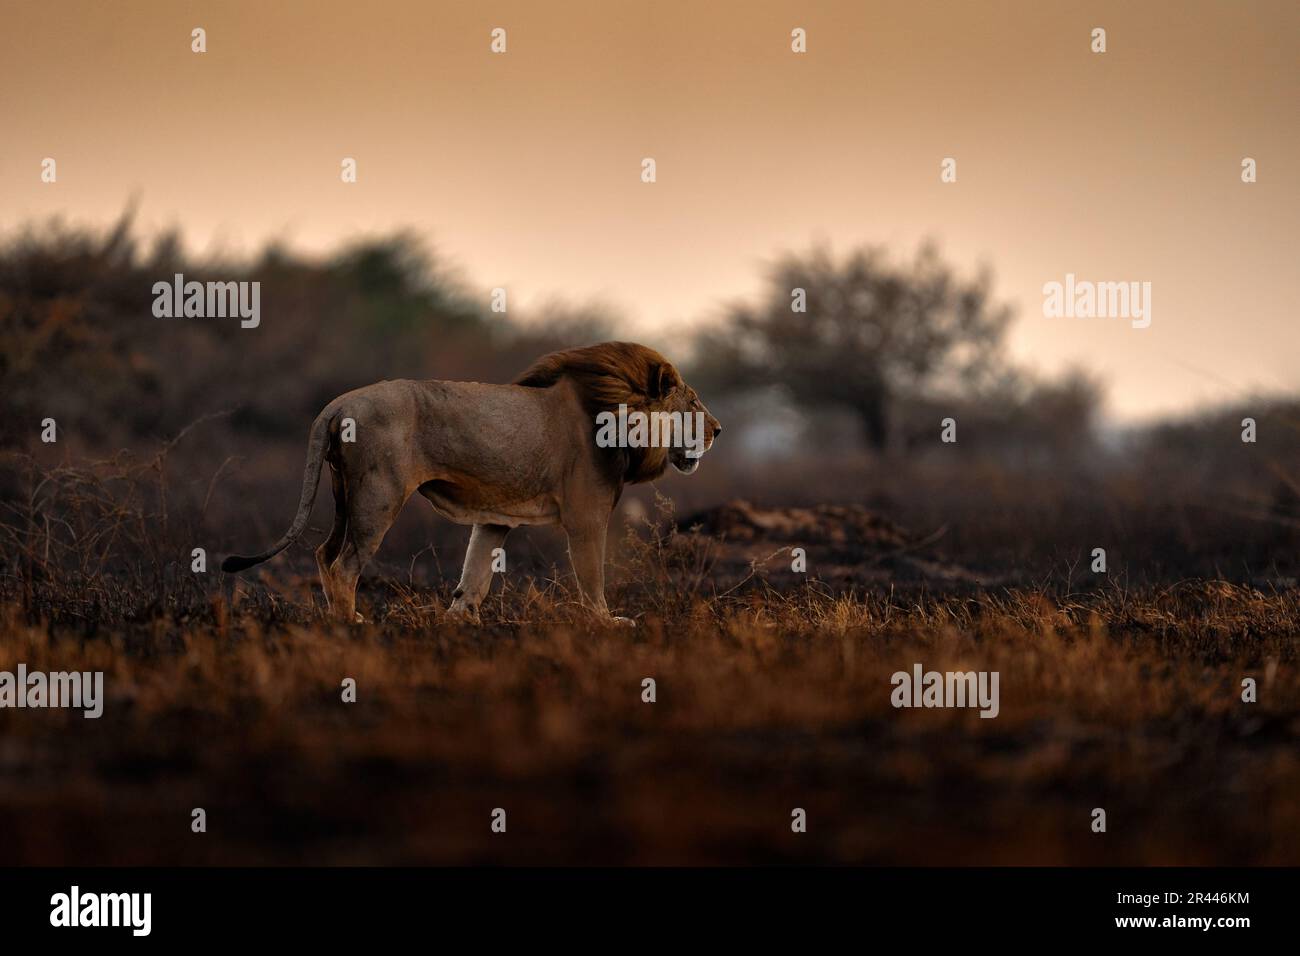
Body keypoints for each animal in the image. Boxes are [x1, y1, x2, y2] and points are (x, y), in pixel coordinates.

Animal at [221, 341, 721, 625]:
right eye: (693, 402)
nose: (718, 429)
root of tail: (337, 403)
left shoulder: (497, 516)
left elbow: (475, 572)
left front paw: (462, 619)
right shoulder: (586, 518)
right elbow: (591, 576)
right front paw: (606, 621)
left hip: (345, 493)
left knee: (324, 554)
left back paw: (342, 618)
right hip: (378, 496)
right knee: (344, 564)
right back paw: (350, 625)